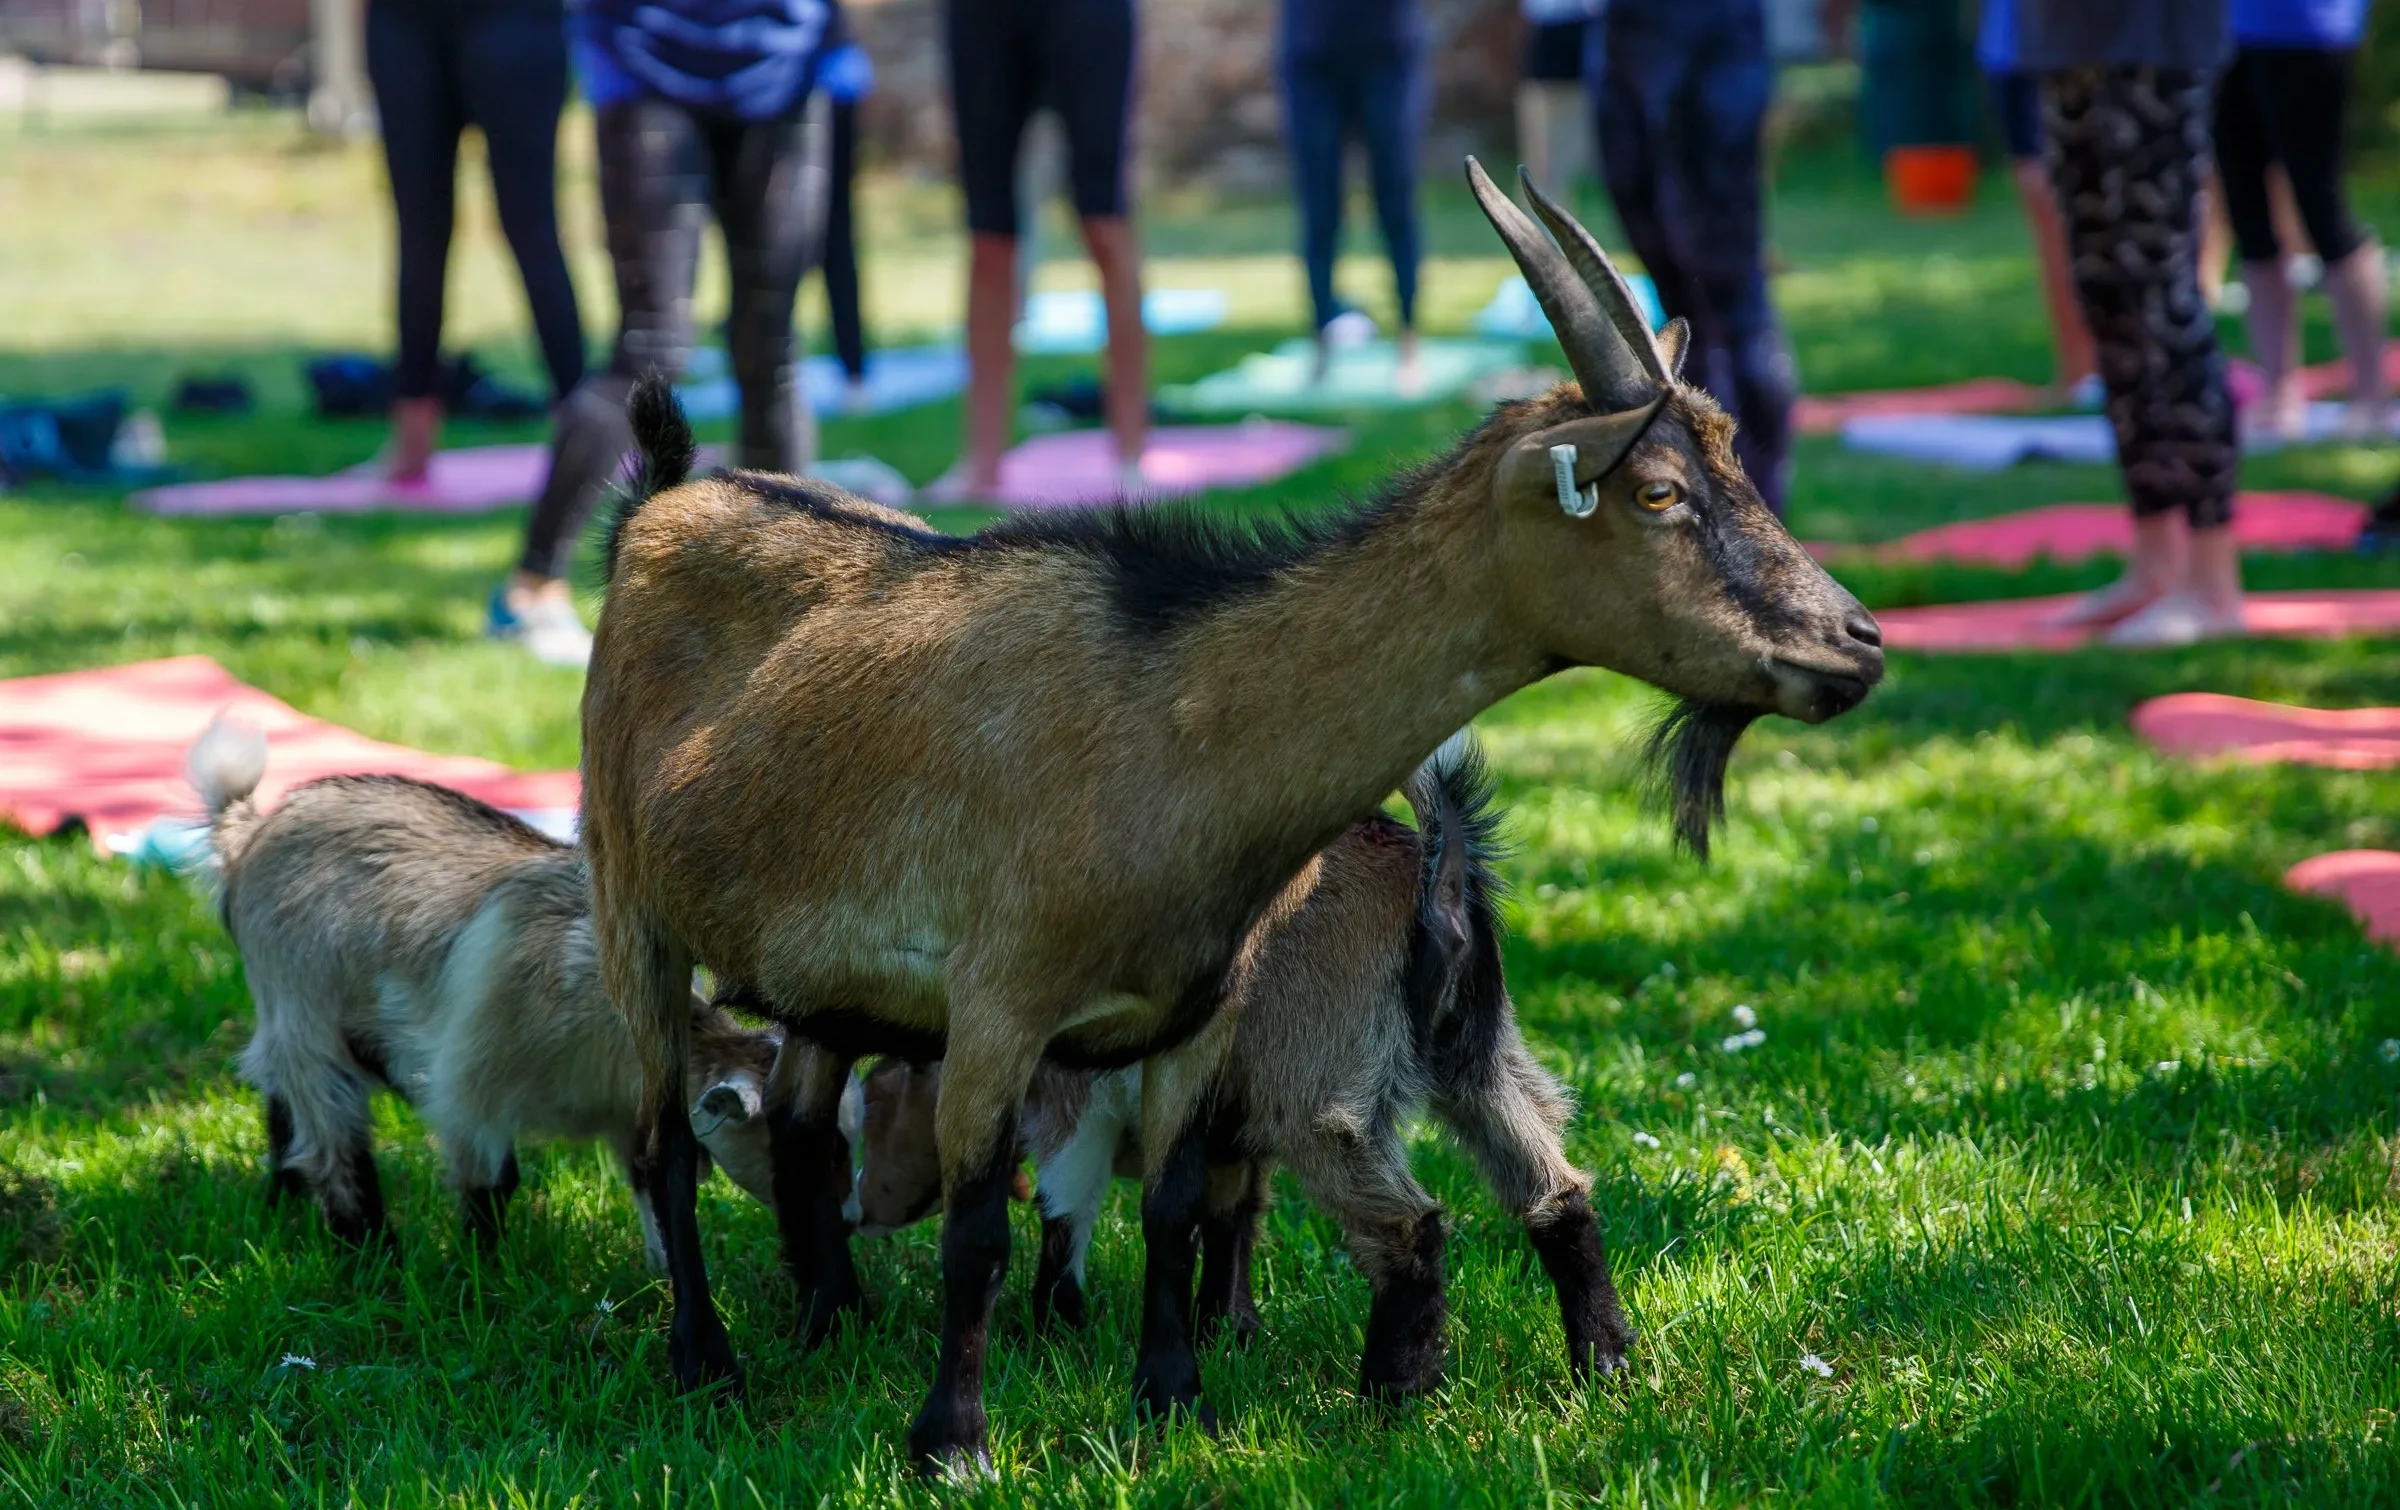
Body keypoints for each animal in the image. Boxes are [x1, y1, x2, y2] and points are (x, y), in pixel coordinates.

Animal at [187, 717, 783, 1260]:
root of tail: (249, 832)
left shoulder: (629, 1110)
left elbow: (652, 1180)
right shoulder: (469, 1086)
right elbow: (491, 1184)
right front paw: (481, 1272)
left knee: (282, 1100)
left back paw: (282, 1201)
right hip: (302, 1009)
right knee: (331, 1138)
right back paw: (371, 1253)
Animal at [849, 737, 1622, 1399]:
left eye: (878, 1108)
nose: (859, 1210)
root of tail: (1440, 877)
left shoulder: (1078, 1106)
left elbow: (1066, 1205)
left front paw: (1057, 1328)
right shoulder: (1225, 1126)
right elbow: (1229, 1215)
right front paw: (1227, 1331)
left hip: (1323, 1089)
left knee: (1408, 1225)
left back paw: (1391, 1394)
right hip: (1479, 1060)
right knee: (1554, 1188)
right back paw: (1604, 1361)